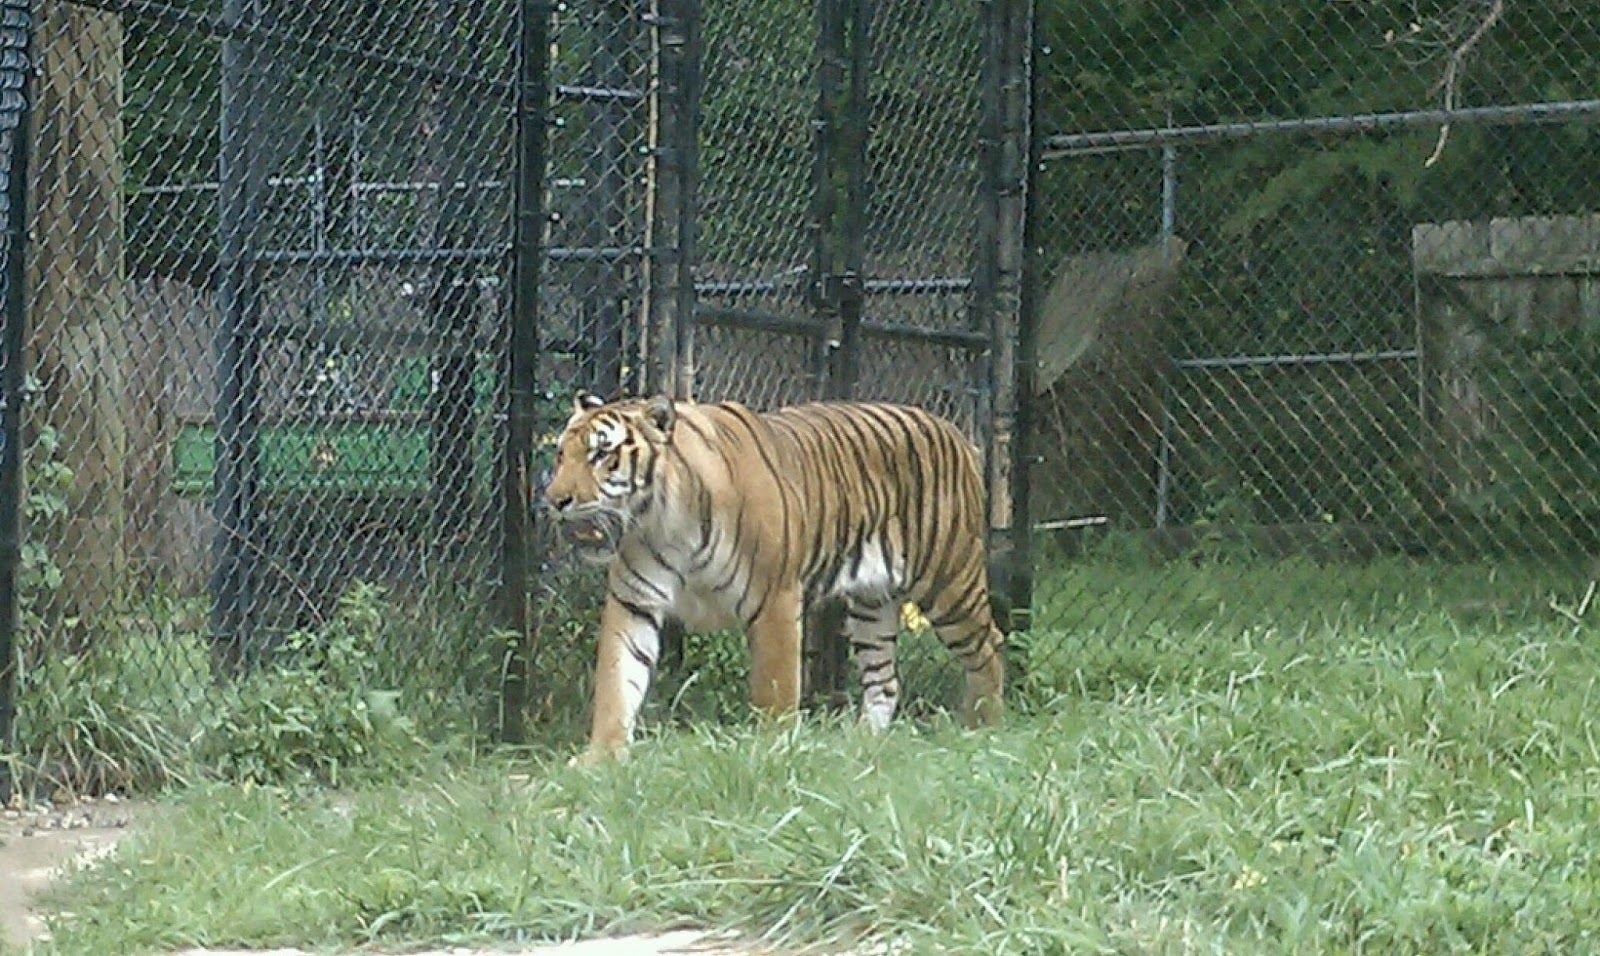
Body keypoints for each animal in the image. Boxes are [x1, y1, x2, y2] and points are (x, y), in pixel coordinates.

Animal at [541, 390, 1007, 767]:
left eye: (602, 455)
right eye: (562, 455)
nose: (554, 500)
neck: (661, 520)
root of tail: (955, 431)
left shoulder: (775, 598)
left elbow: (776, 687)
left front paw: (773, 748)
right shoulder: (634, 603)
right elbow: (617, 681)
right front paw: (601, 758)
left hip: (949, 581)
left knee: (990, 646)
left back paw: (983, 726)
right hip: (873, 605)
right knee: (885, 679)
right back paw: (862, 743)